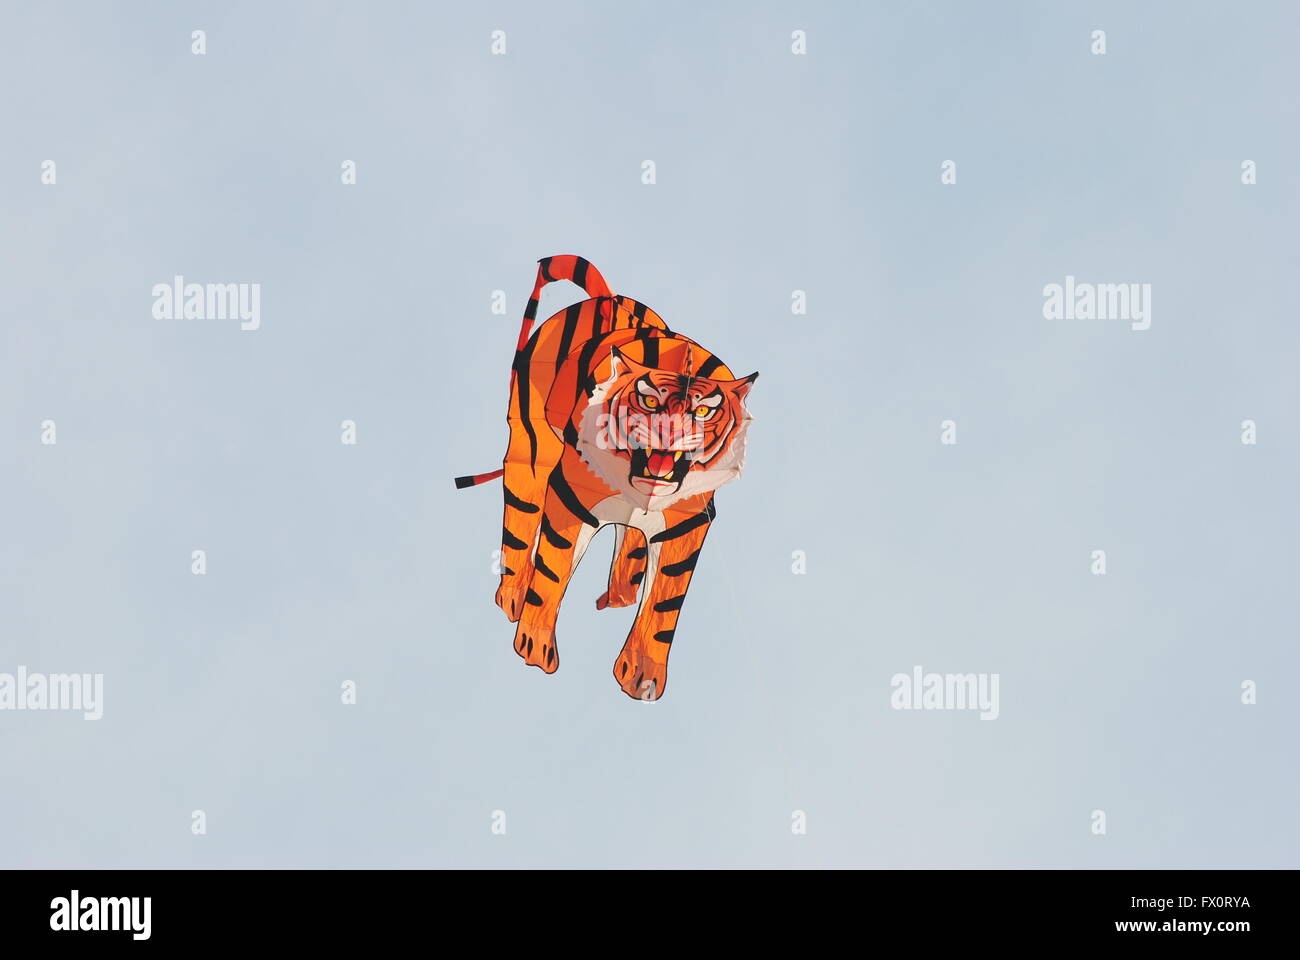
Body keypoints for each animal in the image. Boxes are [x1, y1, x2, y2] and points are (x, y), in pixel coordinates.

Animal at [455, 255, 758, 700]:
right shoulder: (570, 500)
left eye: (703, 411)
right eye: (649, 401)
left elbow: (663, 604)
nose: (670, 433)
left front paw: (642, 676)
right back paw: (513, 597)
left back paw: (618, 596)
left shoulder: (685, 524)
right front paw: (534, 647)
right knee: (521, 522)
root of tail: (607, 296)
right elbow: (552, 572)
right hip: (530, 453)